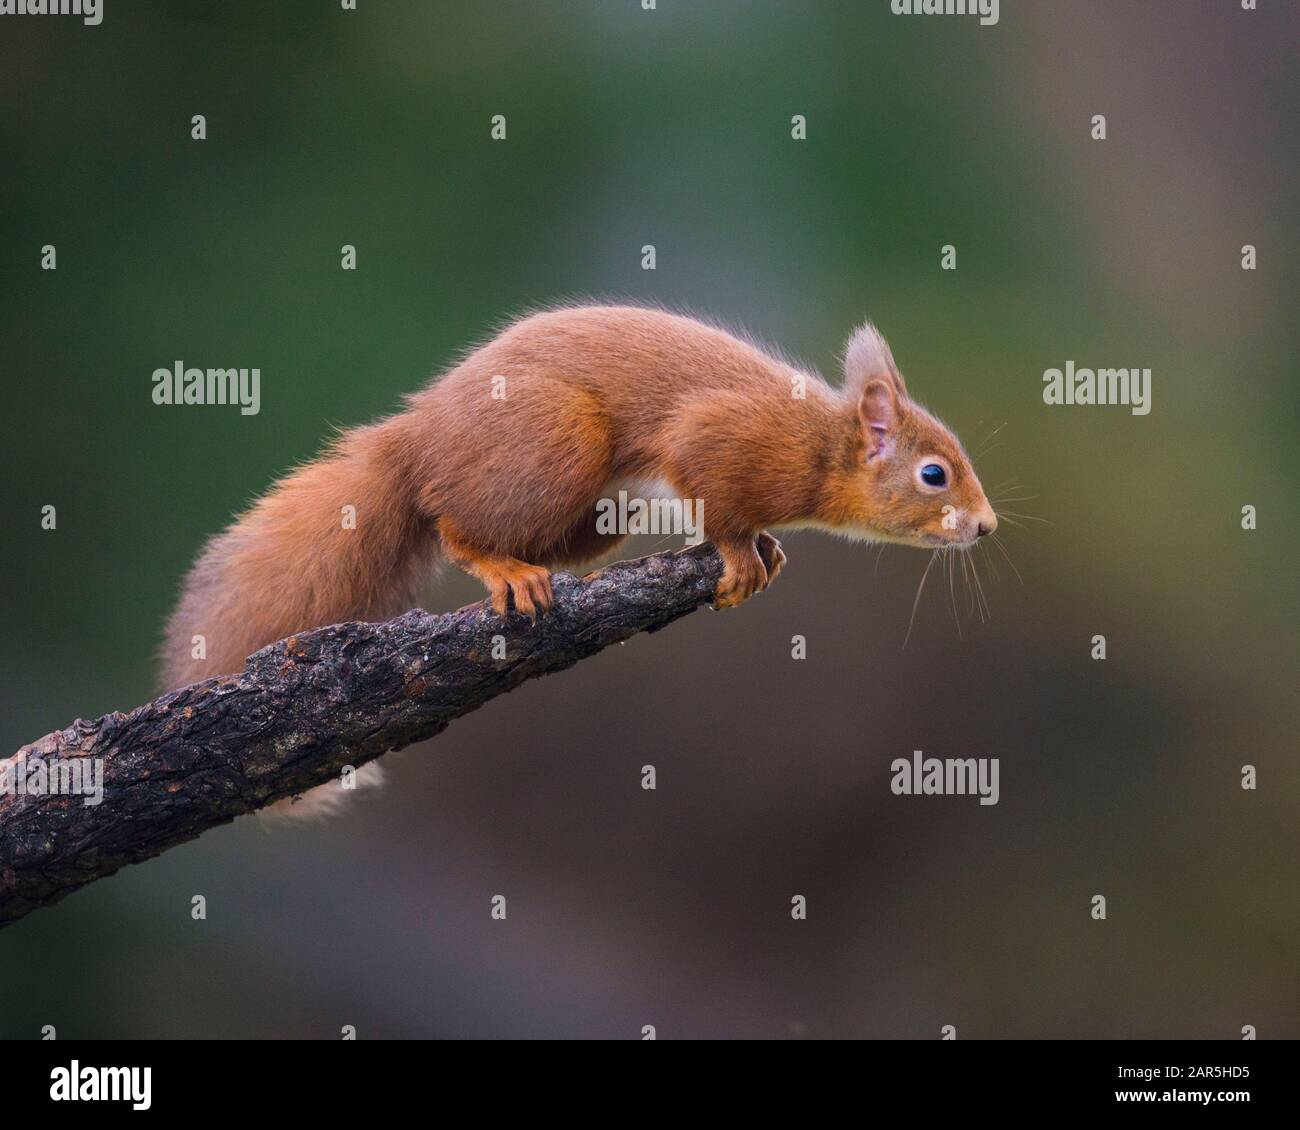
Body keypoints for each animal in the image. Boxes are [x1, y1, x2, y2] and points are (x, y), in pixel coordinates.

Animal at [161, 303, 996, 816]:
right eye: (934, 474)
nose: (987, 527)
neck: (821, 449)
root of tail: (419, 437)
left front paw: (766, 546)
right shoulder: (721, 438)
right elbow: (713, 495)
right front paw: (739, 554)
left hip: (596, 514)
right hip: (558, 442)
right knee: (450, 519)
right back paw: (505, 570)